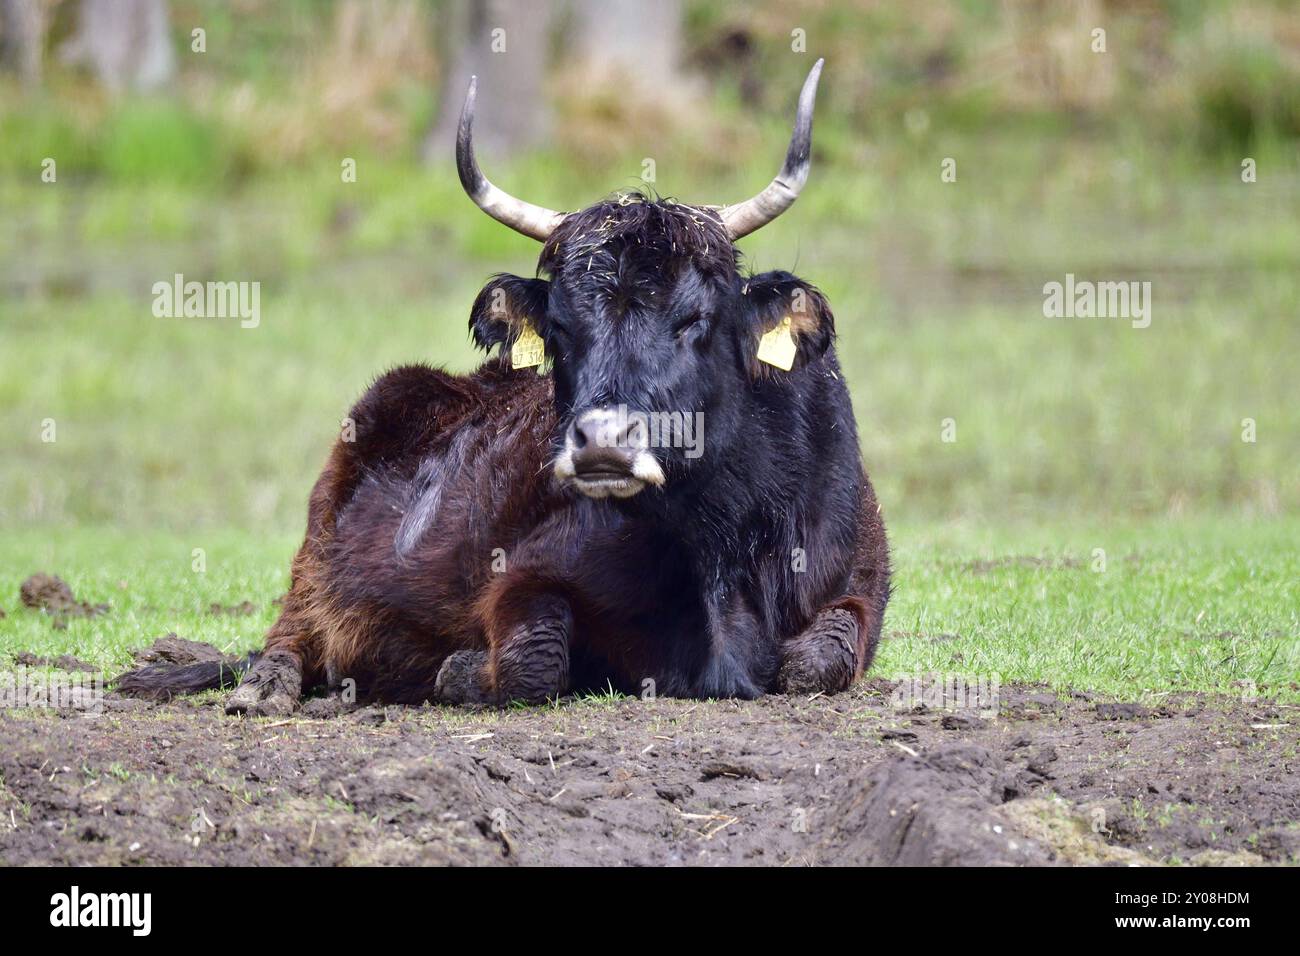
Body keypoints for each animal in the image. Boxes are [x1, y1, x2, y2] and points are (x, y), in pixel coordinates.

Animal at [116, 60, 890, 715]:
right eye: (561, 327)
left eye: (696, 317)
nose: (602, 442)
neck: (721, 534)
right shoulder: (524, 576)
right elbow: (532, 658)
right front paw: (457, 671)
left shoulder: (858, 592)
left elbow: (817, 661)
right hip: (312, 564)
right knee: (288, 636)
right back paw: (268, 687)